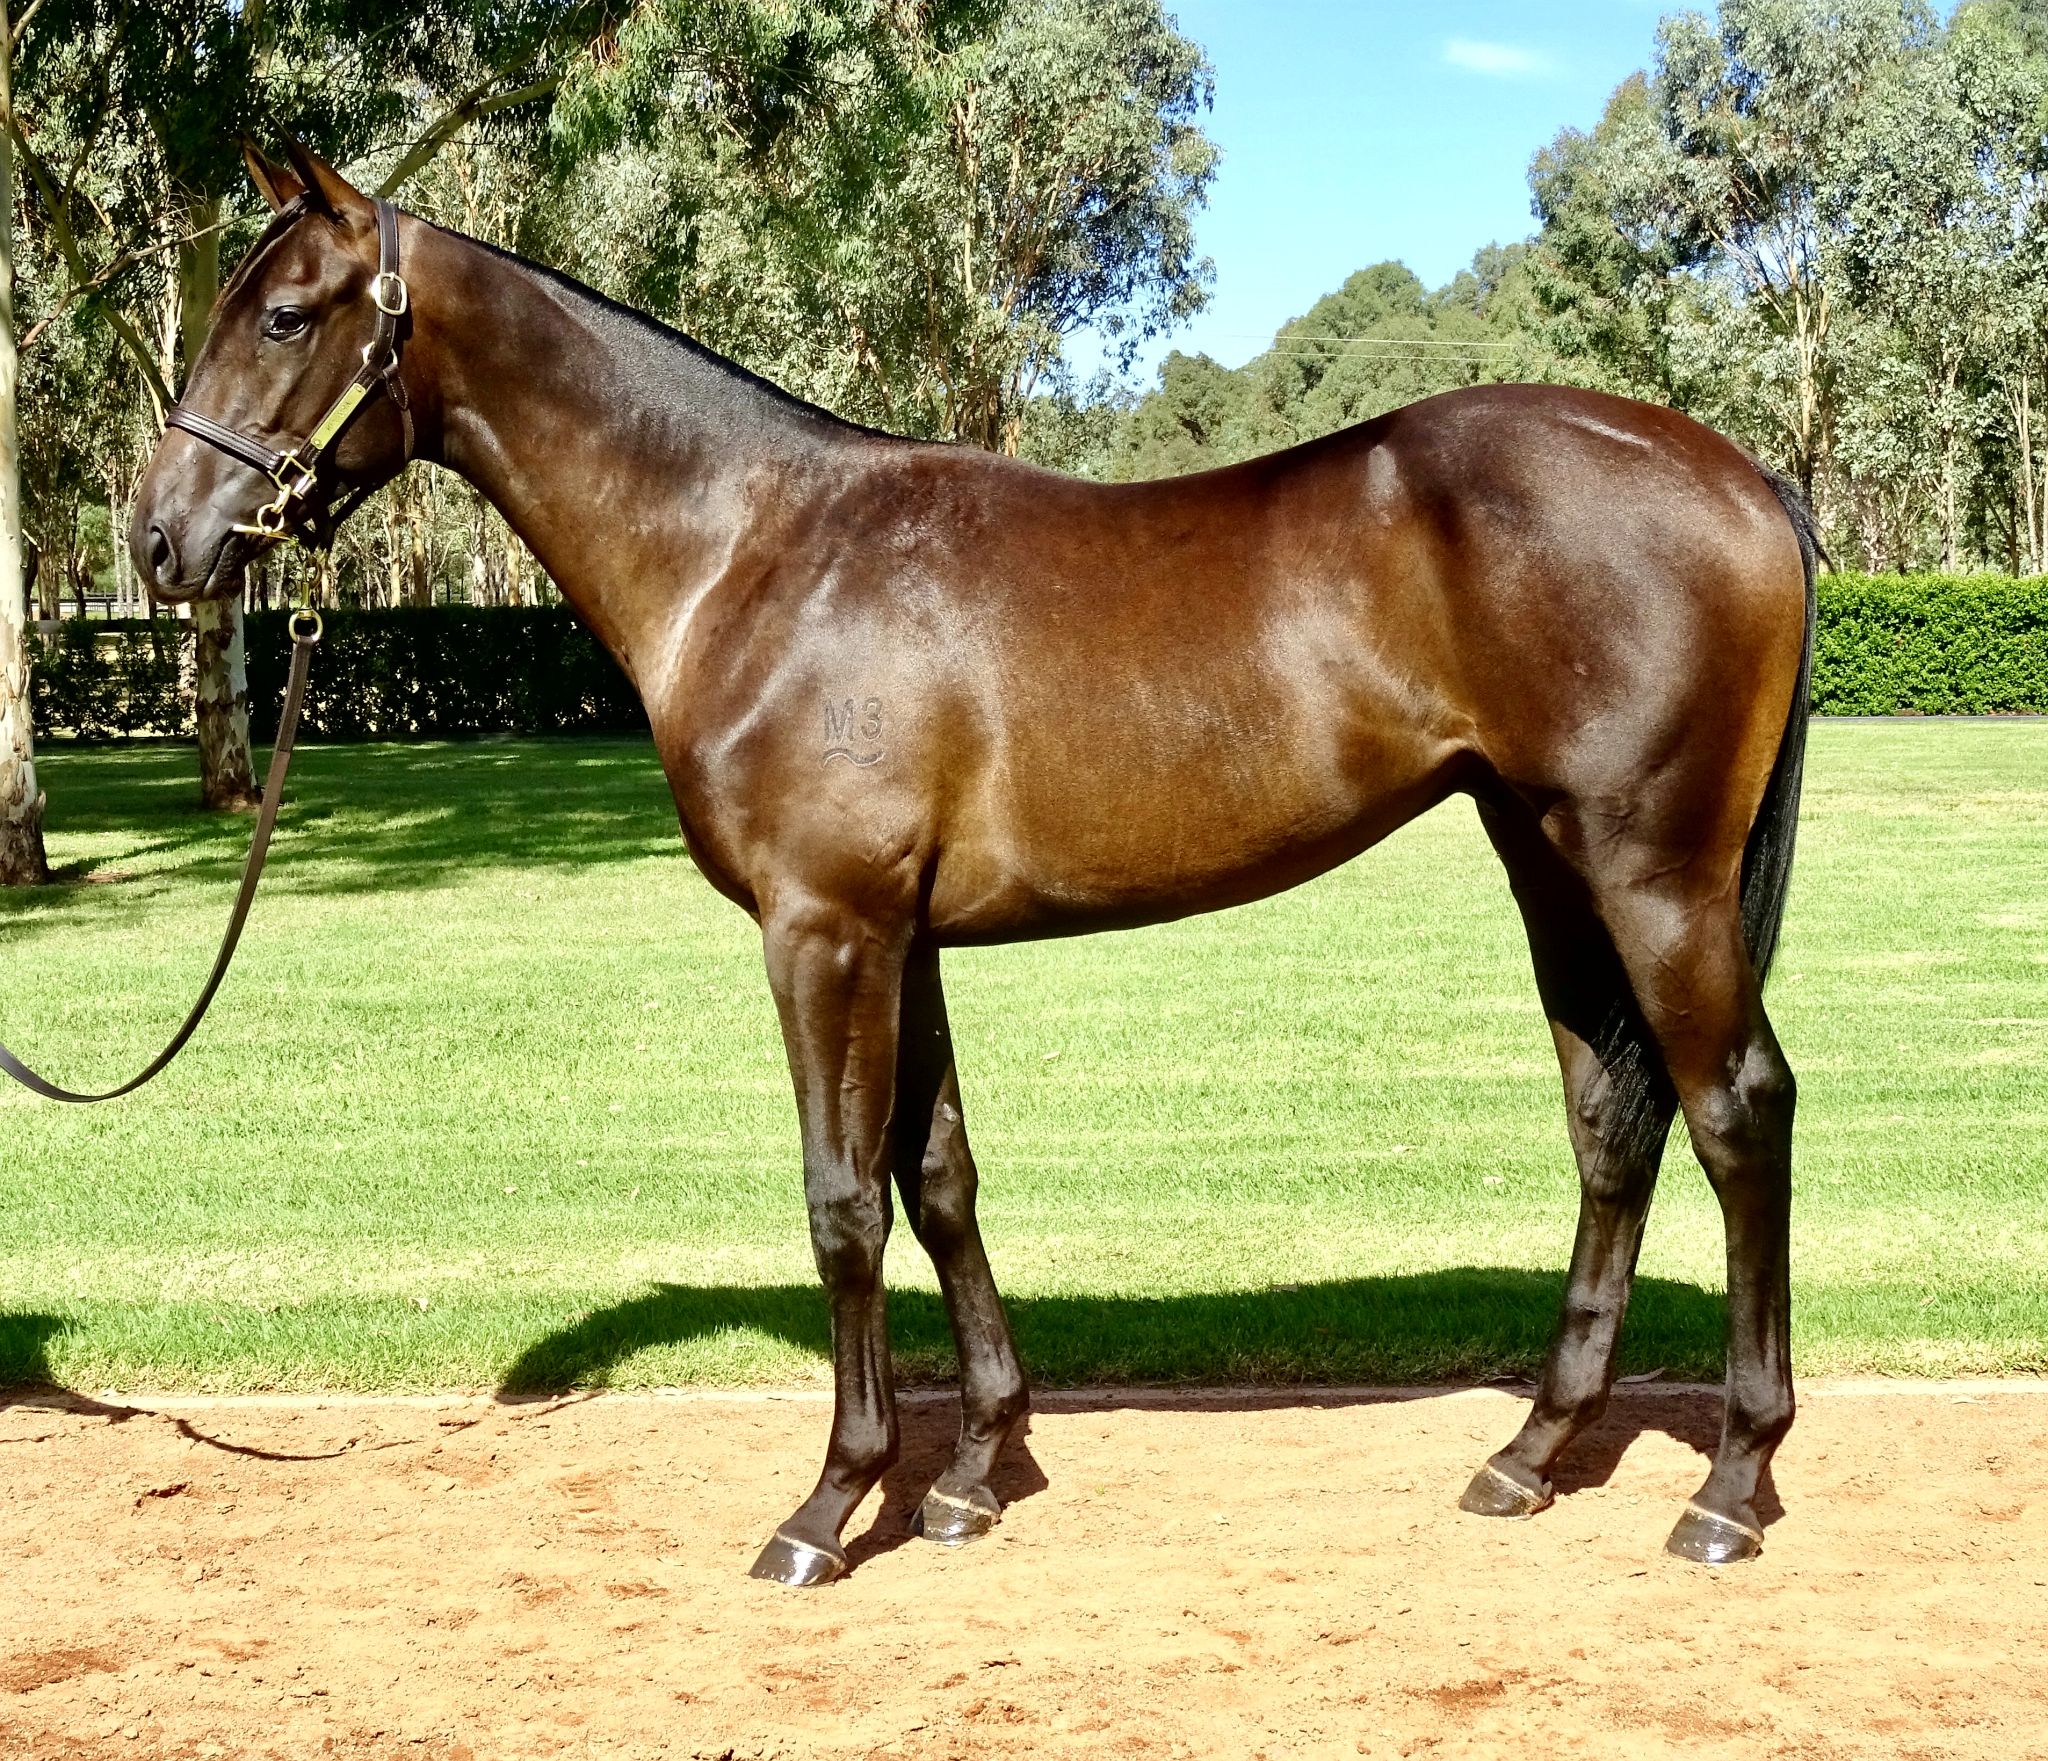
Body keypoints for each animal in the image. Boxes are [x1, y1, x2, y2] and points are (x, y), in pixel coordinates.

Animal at [130, 142, 1816, 1585]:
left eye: (284, 314)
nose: (159, 540)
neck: (754, 551)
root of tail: (1747, 478)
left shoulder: (824, 931)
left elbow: (842, 1202)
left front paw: (834, 1500)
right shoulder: (908, 936)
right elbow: (937, 1180)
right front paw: (973, 1469)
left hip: (1652, 873)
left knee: (1738, 1110)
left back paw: (1733, 1484)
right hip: (1550, 861)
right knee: (1611, 1123)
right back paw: (1533, 1452)